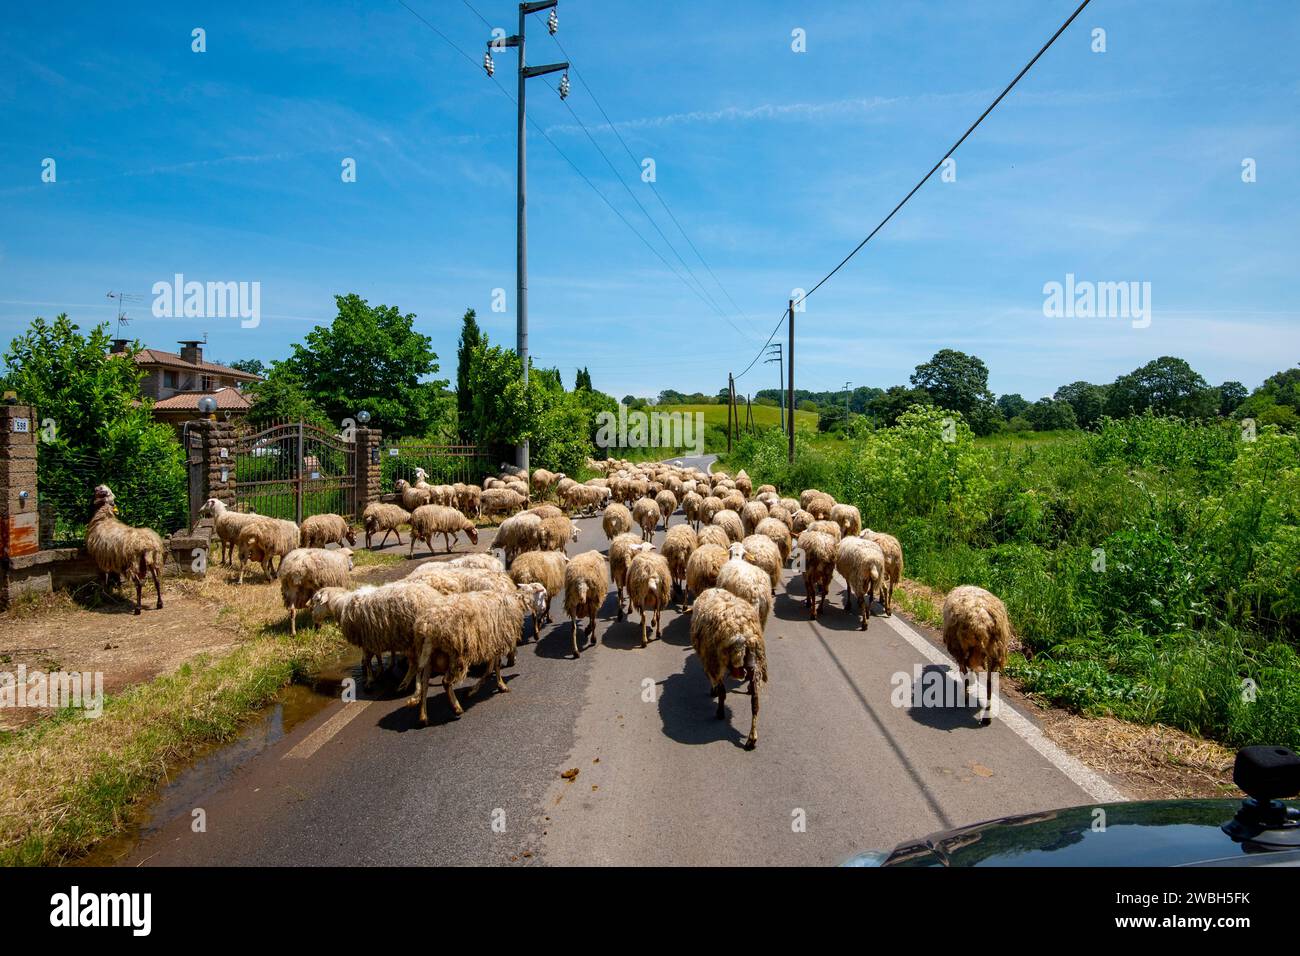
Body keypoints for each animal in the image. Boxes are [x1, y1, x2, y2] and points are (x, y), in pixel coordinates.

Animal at [85, 485, 164, 615]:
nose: (95, 488)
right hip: (153, 560)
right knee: (157, 580)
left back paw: (137, 608)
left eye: (100, 489)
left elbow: (104, 577)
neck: (104, 517)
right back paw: (159, 604)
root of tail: (148, 544)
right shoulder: (113, 558)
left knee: (139, 584)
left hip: (133, 563)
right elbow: (114, 578)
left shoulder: (102, 559)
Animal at [411, 589, 526, 723]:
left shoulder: (491, 645)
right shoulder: (497, 642)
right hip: (455, 654)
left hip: (429, 655)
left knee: (424, 684)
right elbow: (493, 667)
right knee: (445, 681)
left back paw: (423, 716)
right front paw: (500, 686)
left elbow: (490, 668)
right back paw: (456, 708)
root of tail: (428, 626)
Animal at [689, 587, 768, 750]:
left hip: (718, 660)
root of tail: (744, 634)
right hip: (755, 663)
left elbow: (716, 685)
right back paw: (752, 738)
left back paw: (720, 713)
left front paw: (712, 691)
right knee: (755, 702)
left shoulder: (709, 661)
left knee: (723, 691)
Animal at [941, 585, 1011, 725]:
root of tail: (981, 621)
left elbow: (965, 671)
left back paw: (965, 698)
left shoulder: (960, 650)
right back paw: (987, 717)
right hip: (995, 651)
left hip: (961, 646)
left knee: (966, 671)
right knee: (990, 684)